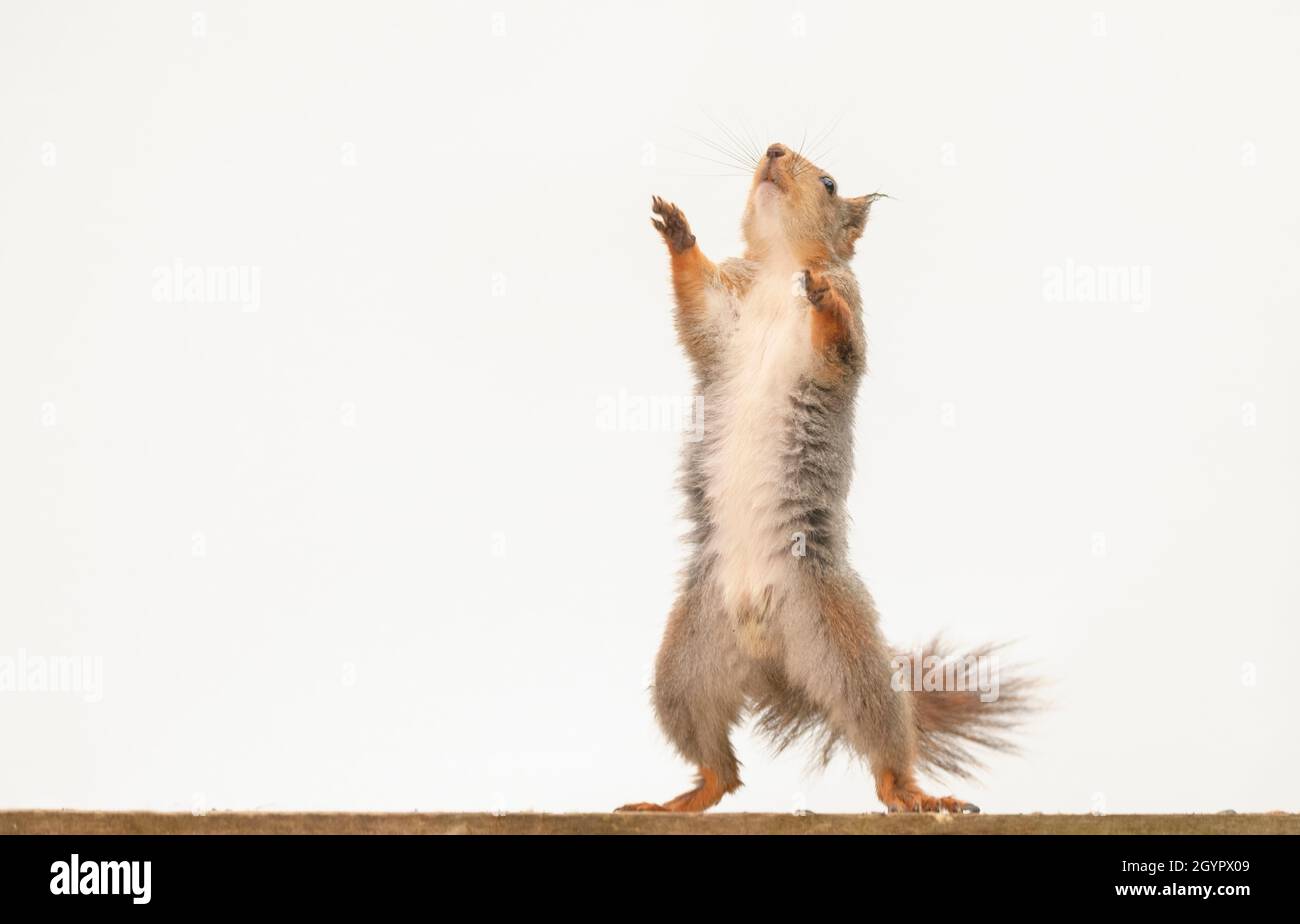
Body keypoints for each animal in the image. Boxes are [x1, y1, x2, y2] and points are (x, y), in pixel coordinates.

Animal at [619, 142, 1034, 814]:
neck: (780, 265)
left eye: (831, 181)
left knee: (883, 739)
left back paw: (916, 796)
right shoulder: (722, 316)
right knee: (720, 769)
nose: (773, 150)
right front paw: (678, 232)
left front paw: (819, 297)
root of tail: (771, 662)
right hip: (685, 670)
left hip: (843, 650)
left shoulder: (846, 323)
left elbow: (840, 339)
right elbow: (697, 306)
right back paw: (681, 800)